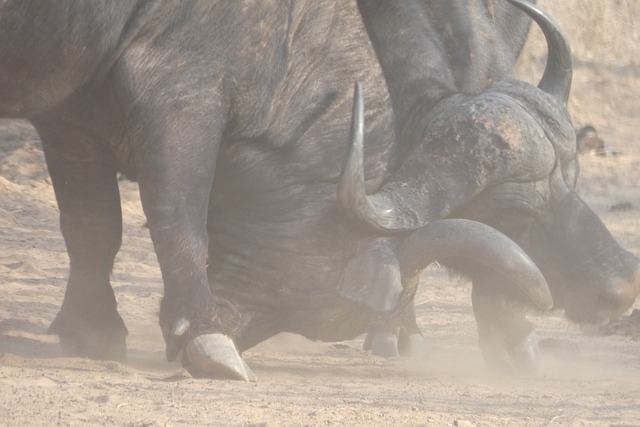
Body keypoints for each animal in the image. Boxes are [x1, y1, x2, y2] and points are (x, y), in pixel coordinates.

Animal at [1, 0, 637, 381]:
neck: (294, 27)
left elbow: (92, 226)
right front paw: (199, 335)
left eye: (573, 184)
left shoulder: (72, 118)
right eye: (513, 208)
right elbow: (175, 215)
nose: (622, 287)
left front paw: (91, 328)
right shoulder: (175, 95)